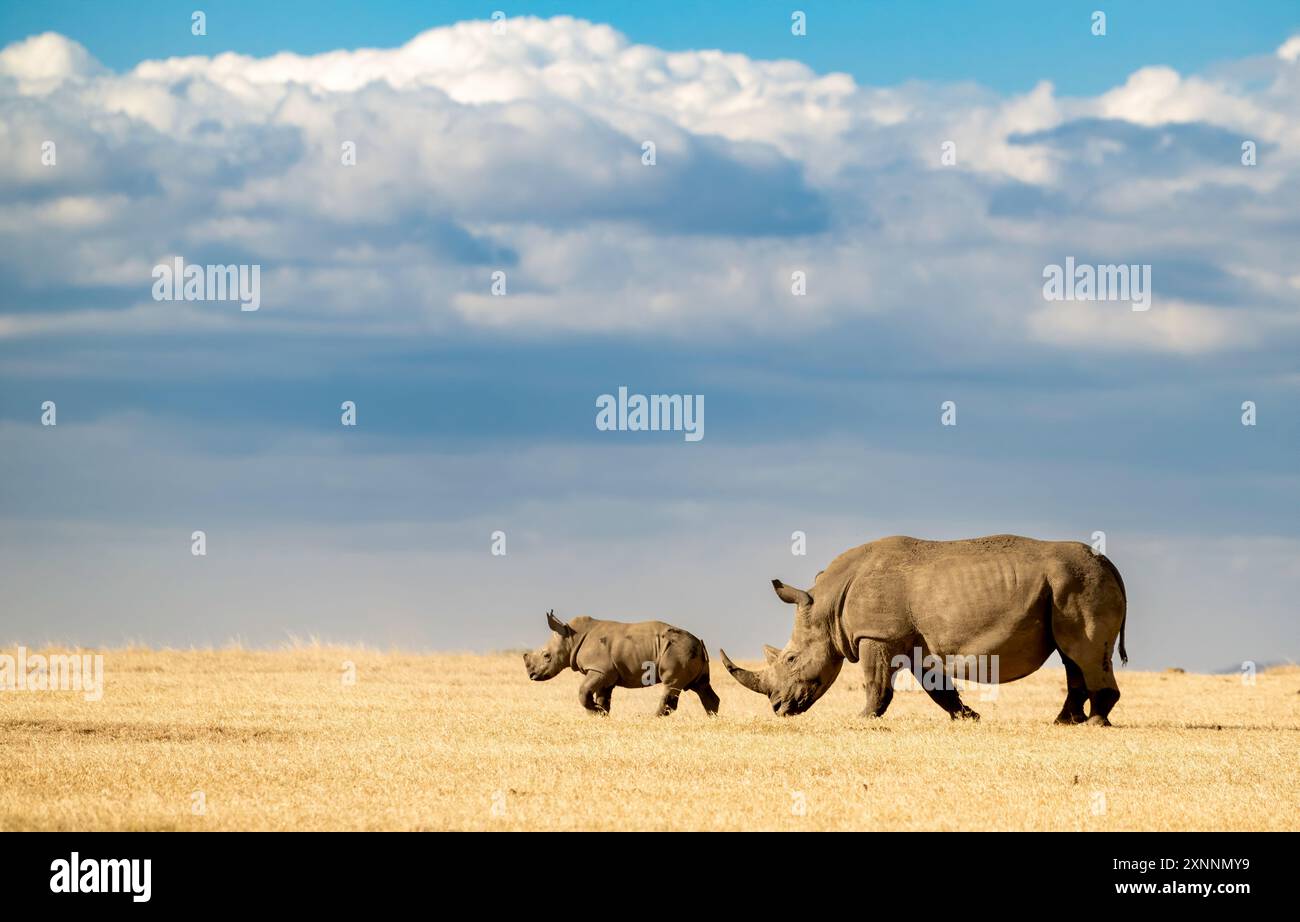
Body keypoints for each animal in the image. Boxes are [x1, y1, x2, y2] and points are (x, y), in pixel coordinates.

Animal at [523, 610, 720, 716]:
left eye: (547, 656)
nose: (532, 676)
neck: (571, 638)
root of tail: (700, 642)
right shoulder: (606, 674)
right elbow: (602, 697)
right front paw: (599, 714)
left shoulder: (599, 669)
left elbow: (583, 691)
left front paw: (596, 711)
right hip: (690, 650)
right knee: (701, 686)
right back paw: (712, 718)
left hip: (678, 649)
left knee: (671, 685)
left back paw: (652, 719)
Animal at [721, 535, 1128, 725]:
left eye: (790, 659)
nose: (777, 708)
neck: (827, 606)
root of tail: (1109, 563)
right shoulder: (914, 641)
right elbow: (938, 688)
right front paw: (968, 718)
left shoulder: (876, 635)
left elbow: (874, 681)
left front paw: (863, 718)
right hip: (1069, 585)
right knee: (1071, 656)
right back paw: (1064, 722)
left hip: (1079, 583)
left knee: (1083, 652)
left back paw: (1094, 723)